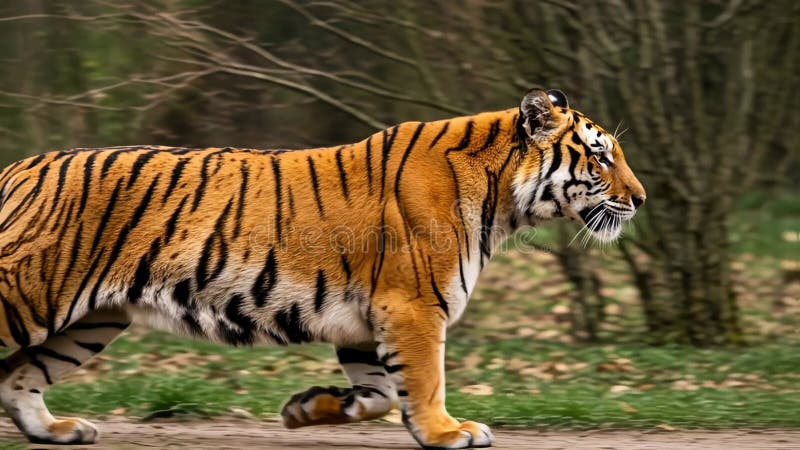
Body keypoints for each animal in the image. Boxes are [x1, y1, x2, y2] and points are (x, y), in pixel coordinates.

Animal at [0, 89, 644, 448]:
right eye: (601, 156)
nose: (640, 199)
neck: (503, 197)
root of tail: (16, 167)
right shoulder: (414, 305)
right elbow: (426, 379)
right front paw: (447, 432)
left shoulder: (370, 318)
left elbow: (381, 393)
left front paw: (305, 409)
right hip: (28, 293)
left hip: (92, 320)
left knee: (18, 378)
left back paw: (56, 430)